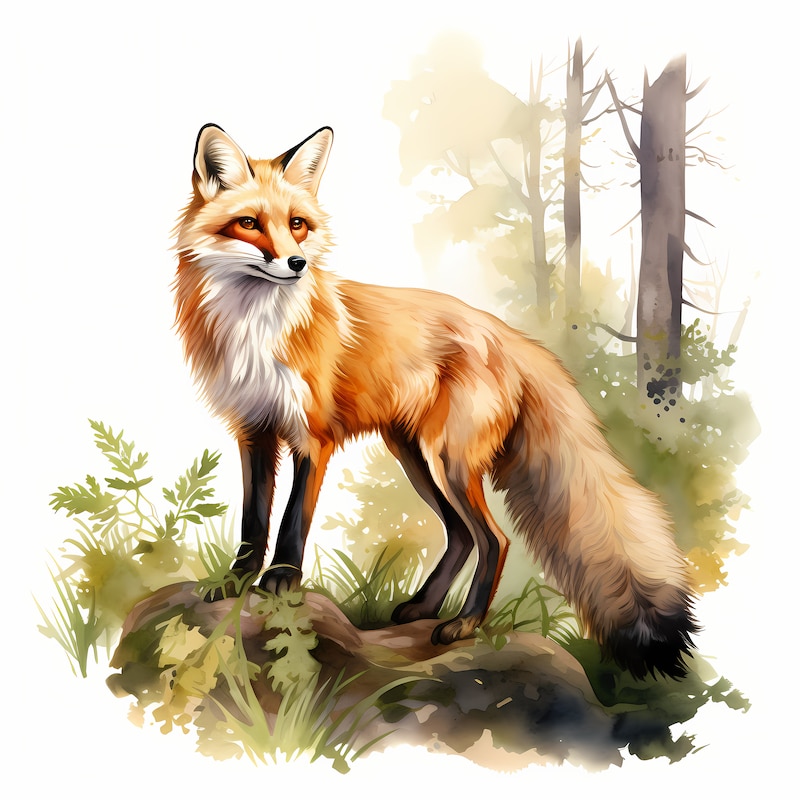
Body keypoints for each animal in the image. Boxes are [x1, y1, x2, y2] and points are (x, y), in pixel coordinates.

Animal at [173, 123, 698, 679]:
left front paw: (281, 582)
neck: (257, 329)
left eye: (297, 224)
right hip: (416, 457)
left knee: (494, 539)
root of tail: (509, 336)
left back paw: (462, 625)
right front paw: (235, 583)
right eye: (249, 223)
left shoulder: (312, 438)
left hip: (449, 460)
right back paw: (424, 608)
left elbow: (293, 520)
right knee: (462, 536)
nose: (296, 263)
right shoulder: (253, 431)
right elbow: (253, 520)